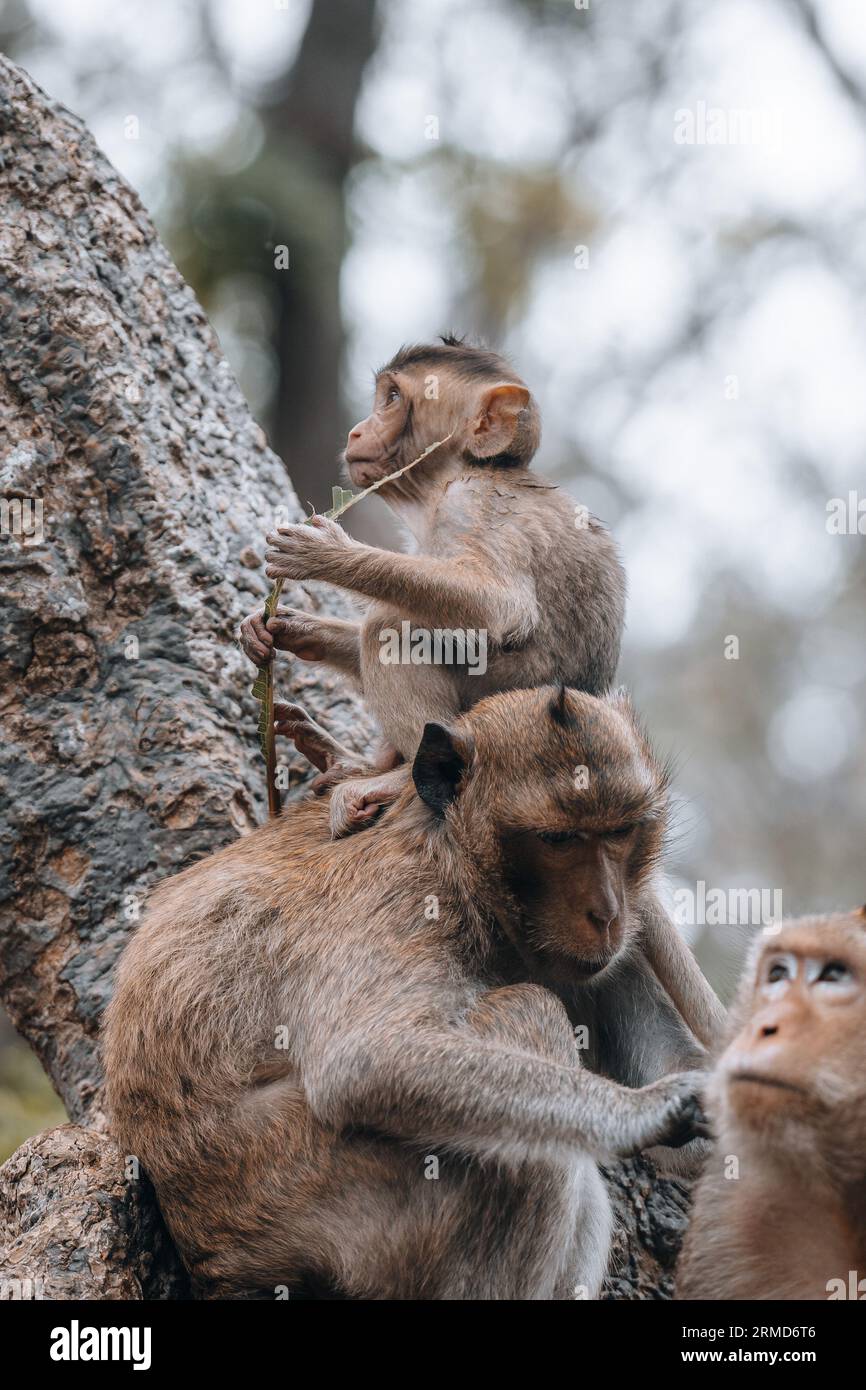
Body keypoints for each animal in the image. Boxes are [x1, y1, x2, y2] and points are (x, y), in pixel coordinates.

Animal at [104, 686, 712, 1301]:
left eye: (619, 832)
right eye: (558, 840)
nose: (606, 914)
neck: (456, 860)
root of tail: (208, 1257)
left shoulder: (617, 954)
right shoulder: (400, 892)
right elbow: (365, 1060)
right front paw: (650, 1109)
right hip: (306, 1197)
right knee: (530, 1029)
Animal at [239, 338, 626, 837]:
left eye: (392, 399)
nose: (357, 432)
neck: (449, 476)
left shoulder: (469, 502)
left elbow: (500, 607)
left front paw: (325, 553)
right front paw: (283, 628)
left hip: (497, 707)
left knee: (392, 627)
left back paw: (396, 774)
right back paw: (346, 758)